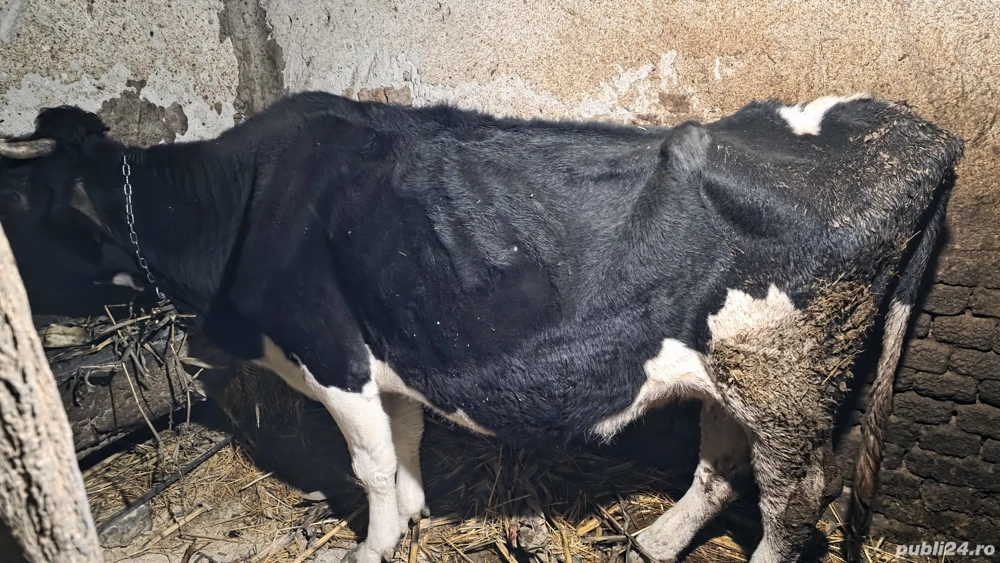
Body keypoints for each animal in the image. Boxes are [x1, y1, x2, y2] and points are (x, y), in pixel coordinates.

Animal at [0, 92, 962, 563]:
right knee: (723, 465)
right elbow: (407, 437)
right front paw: (417, 515)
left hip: (790, 377)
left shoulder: (329, 349)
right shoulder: (390, 344)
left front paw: (373, 544)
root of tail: (921, 133)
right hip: (735, 372)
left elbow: (368, 463)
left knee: (798, 496)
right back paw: (653, 541)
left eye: (16, 201)